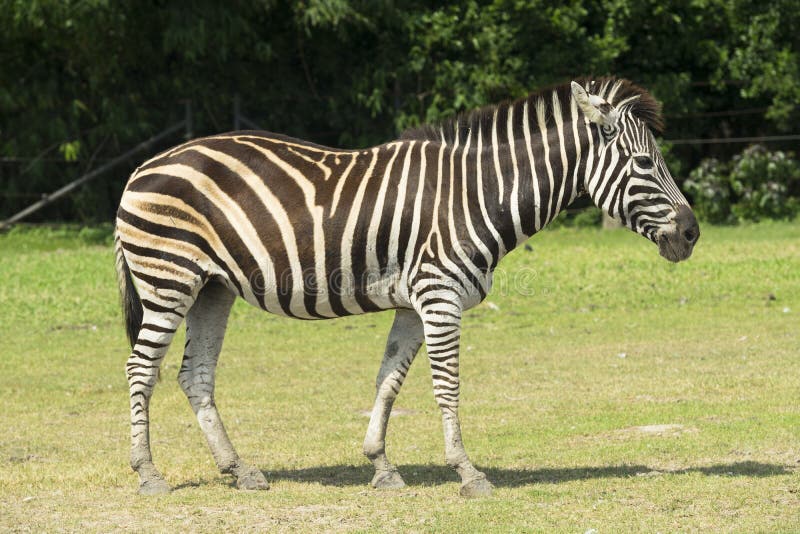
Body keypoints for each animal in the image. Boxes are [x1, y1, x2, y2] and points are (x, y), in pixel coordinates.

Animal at [115, 78, 699, 497]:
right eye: (645, 162)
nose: (691, 234)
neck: (476, 193)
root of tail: (144, 165)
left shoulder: (414, 304)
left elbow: (388, 380)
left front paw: (382, 467)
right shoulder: (440, 296)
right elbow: (447, 385)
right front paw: (467, 472)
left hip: (211, 287)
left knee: (194, 374)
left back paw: (239, 470)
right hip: (169, 278)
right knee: (141, 368)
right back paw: (149, 474)